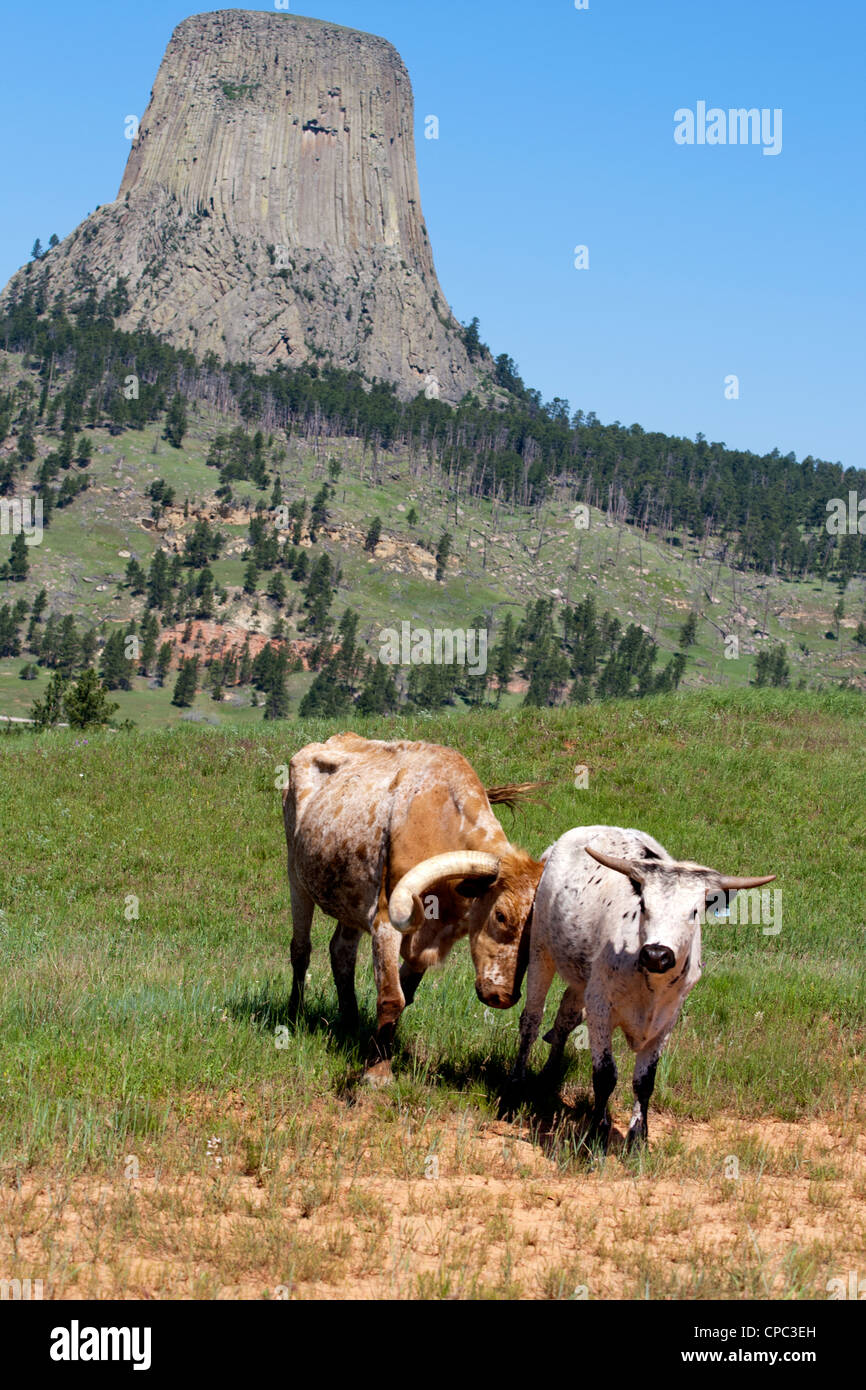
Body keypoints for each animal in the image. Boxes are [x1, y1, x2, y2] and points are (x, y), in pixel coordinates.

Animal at [282, 733, 545, 1083]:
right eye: (501, 916)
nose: (503, 997)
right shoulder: (385, 920)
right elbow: (392, 998)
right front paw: (377, 1074)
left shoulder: (427, 941)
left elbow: (404, 994)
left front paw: (375, 1053)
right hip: (296, 878)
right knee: (301, 949)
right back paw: (294, 1014)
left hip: (351, 895)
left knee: (341, 952)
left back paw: (349, 1022)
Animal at [509, 826, 775, 1149]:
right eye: (644, 905)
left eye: (695, 911)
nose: (657, 954)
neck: (649, 983)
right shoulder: (600, 1009)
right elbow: (605, 1075)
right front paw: (598, 1131)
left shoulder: (666, 1020)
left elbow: (644, 1081)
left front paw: (638, 1135)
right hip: (541, 951)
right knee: (531, 1021)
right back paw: (517, 1086)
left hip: (582, 978)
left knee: (564, 1018)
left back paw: (549, 1077)